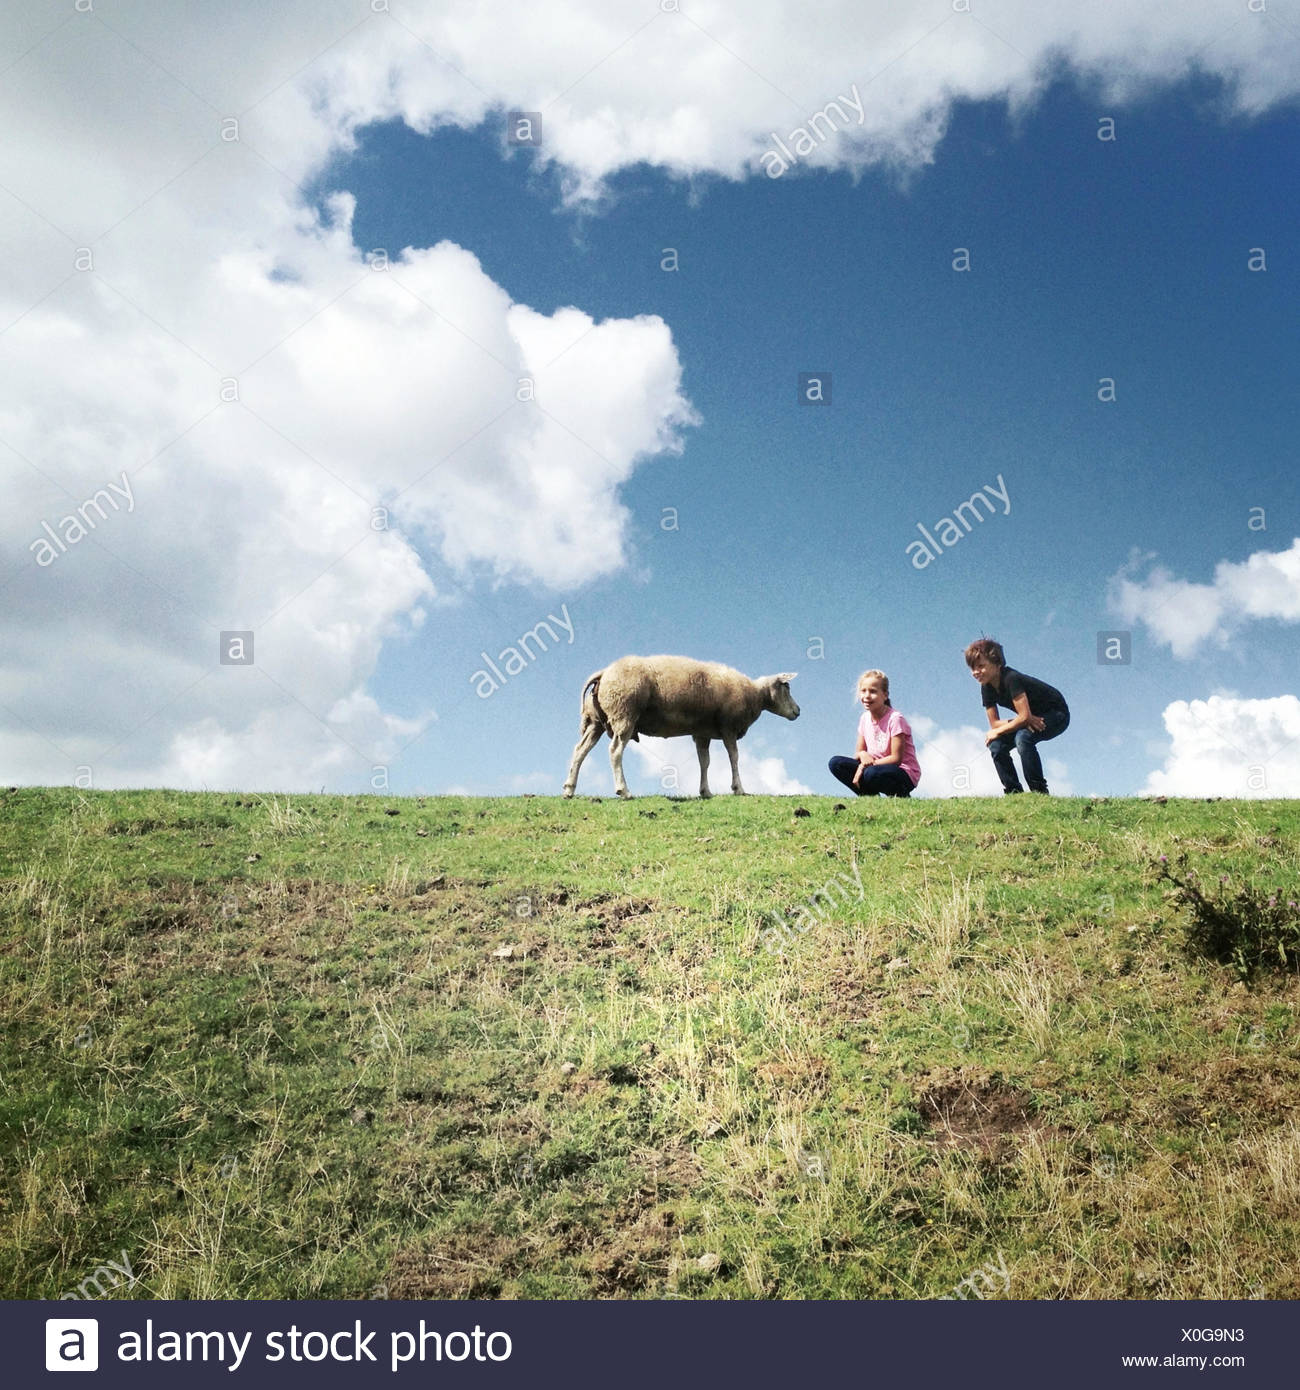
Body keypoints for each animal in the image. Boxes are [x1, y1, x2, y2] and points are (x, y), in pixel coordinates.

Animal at [562, 655, 800, 799]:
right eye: (786, 686)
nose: (798, 711)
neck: (754, 694)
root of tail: (603, 672)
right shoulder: (728, 727)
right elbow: (734, 757)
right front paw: (738, 788)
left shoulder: (702, 733)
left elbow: (704, 762)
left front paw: (705, 791)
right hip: (624, 713)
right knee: (615, 750)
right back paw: (624, 790)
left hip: (596, 722)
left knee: (579, 750)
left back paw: (569, 789)